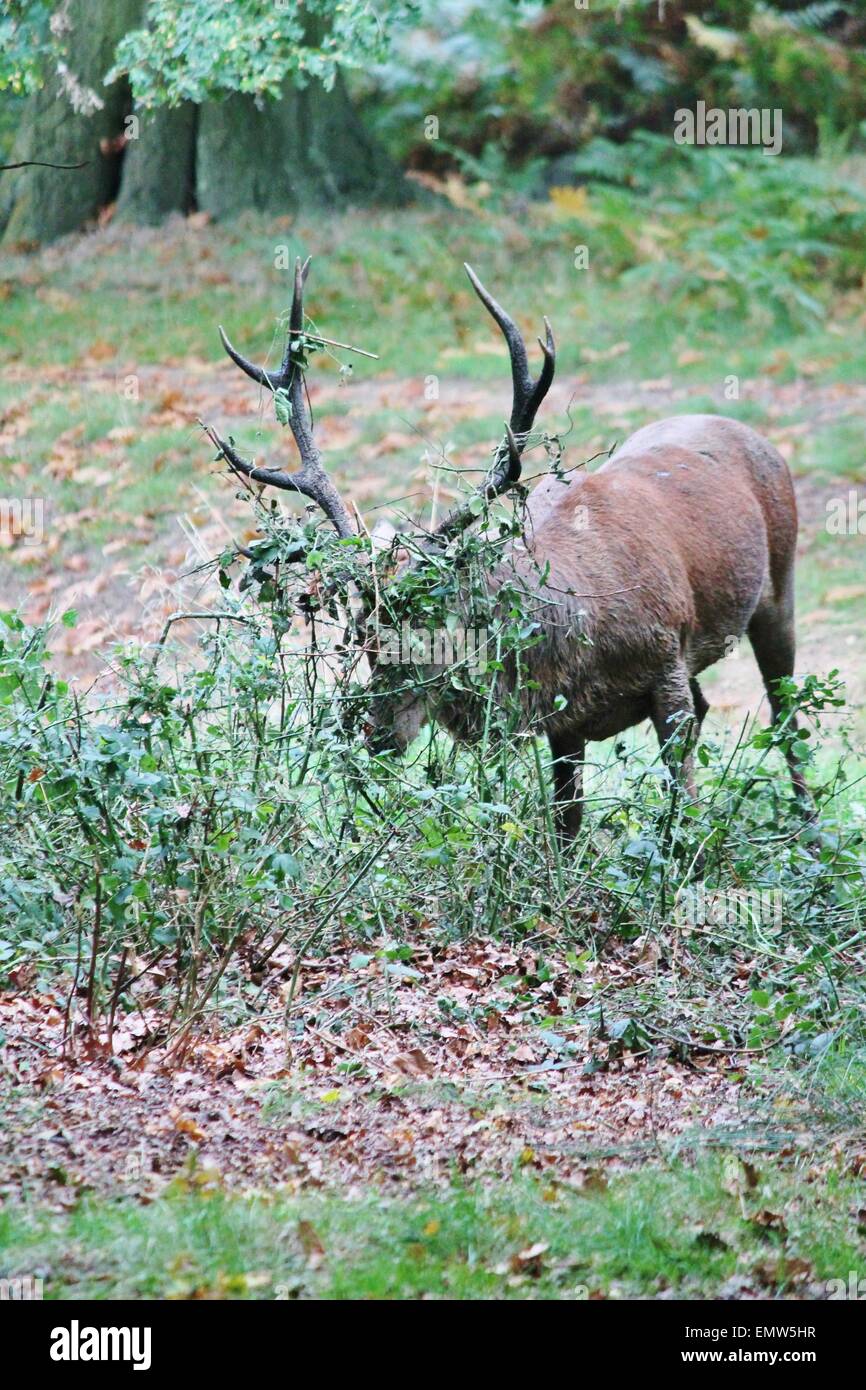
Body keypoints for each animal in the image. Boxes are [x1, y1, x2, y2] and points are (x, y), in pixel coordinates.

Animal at [206, 257, 810, 843]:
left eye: (430, 627)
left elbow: (684, 811)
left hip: (779, 584)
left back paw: (810, 831)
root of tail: (753, 435)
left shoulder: (667, 663)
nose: (372, 733)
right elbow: (565, 828)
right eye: (363, 635)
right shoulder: (565, 722)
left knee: (787, 714)